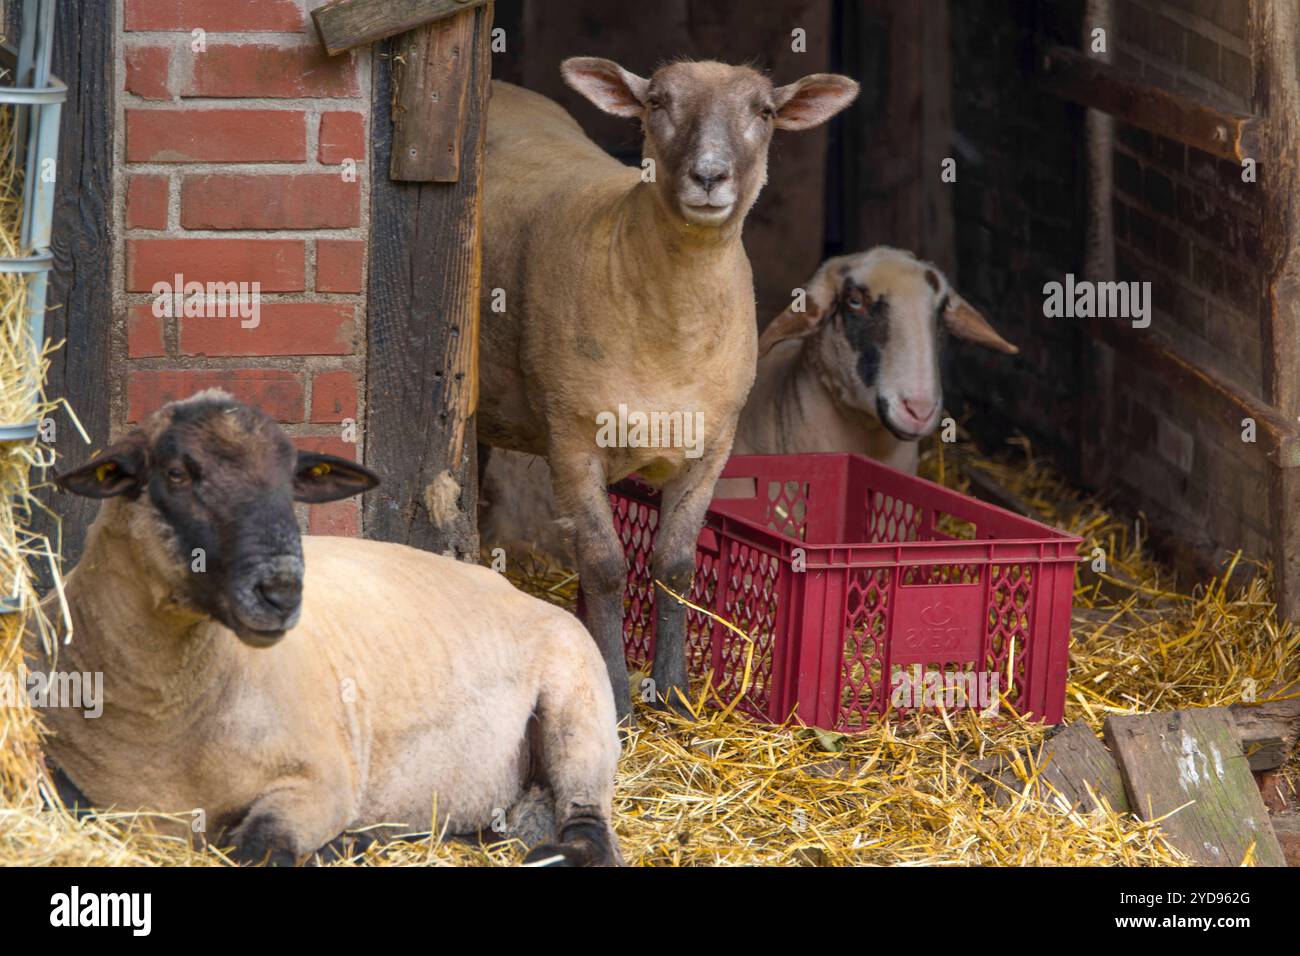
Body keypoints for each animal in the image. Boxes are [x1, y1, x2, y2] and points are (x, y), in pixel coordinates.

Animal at [30, 391, 621, 866]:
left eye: (290, 480)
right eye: (176, 474)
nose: (282, 591)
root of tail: (509, 586)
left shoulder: (321, 783)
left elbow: (260, 849)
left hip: (580, 709)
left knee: (590, 826)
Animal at [478, 59, 859, 719]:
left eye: (763, 111)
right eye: (657, 102)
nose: (709, 175)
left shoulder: (712, 448)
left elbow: (674, 565)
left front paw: (676, 692)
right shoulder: (572, 439)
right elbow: (605, 565)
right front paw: (617, 696)